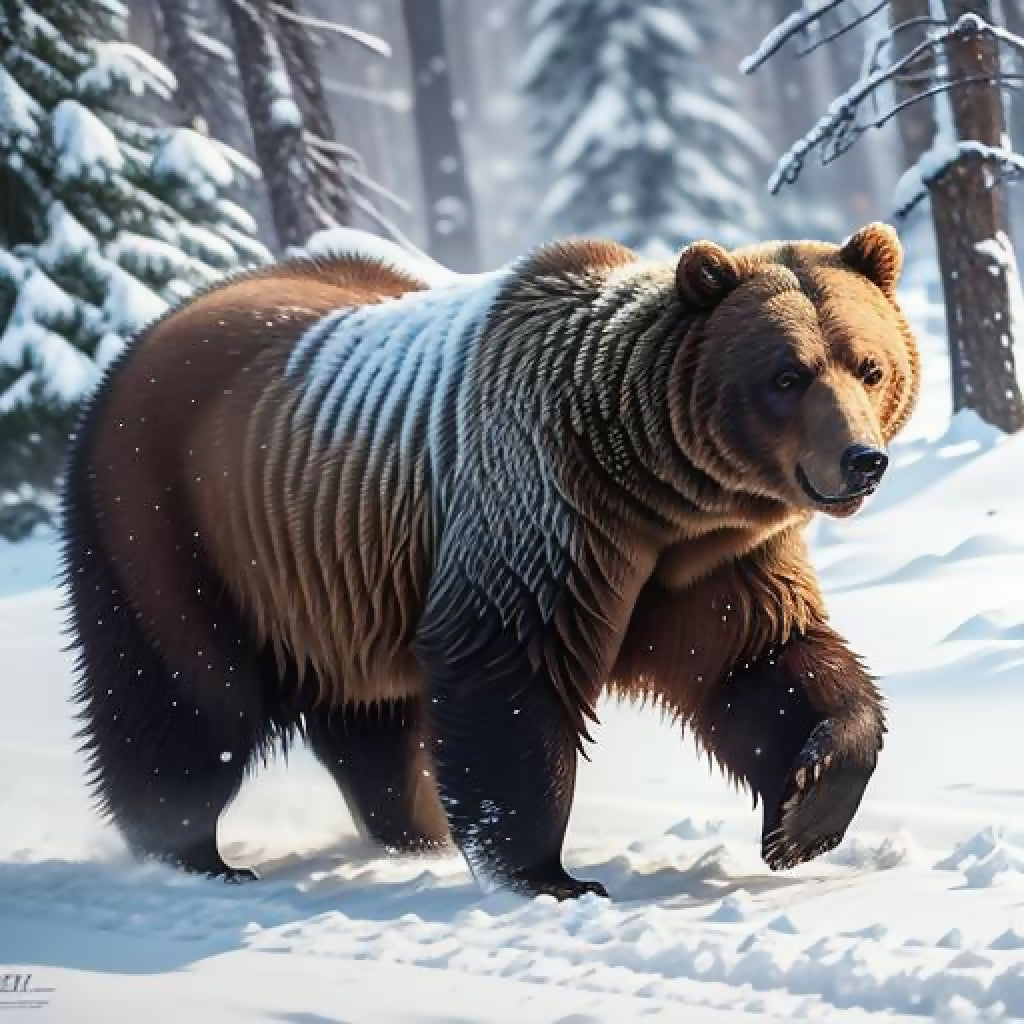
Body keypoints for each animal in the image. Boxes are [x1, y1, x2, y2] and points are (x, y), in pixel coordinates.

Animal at [61, 223, 920, 899]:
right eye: (787, 375)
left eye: (869, 365)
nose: (861, 459)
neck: (654, 483)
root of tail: (153, 330)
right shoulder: (546, 509)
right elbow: (511, 674)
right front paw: (550, 875)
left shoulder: (707, 557)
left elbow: (763, 659)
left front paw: (806, 809)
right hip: (173, 524)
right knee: (185, 694)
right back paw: (191, 849)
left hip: (342, 569)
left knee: (372, 716)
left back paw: (415, 831)